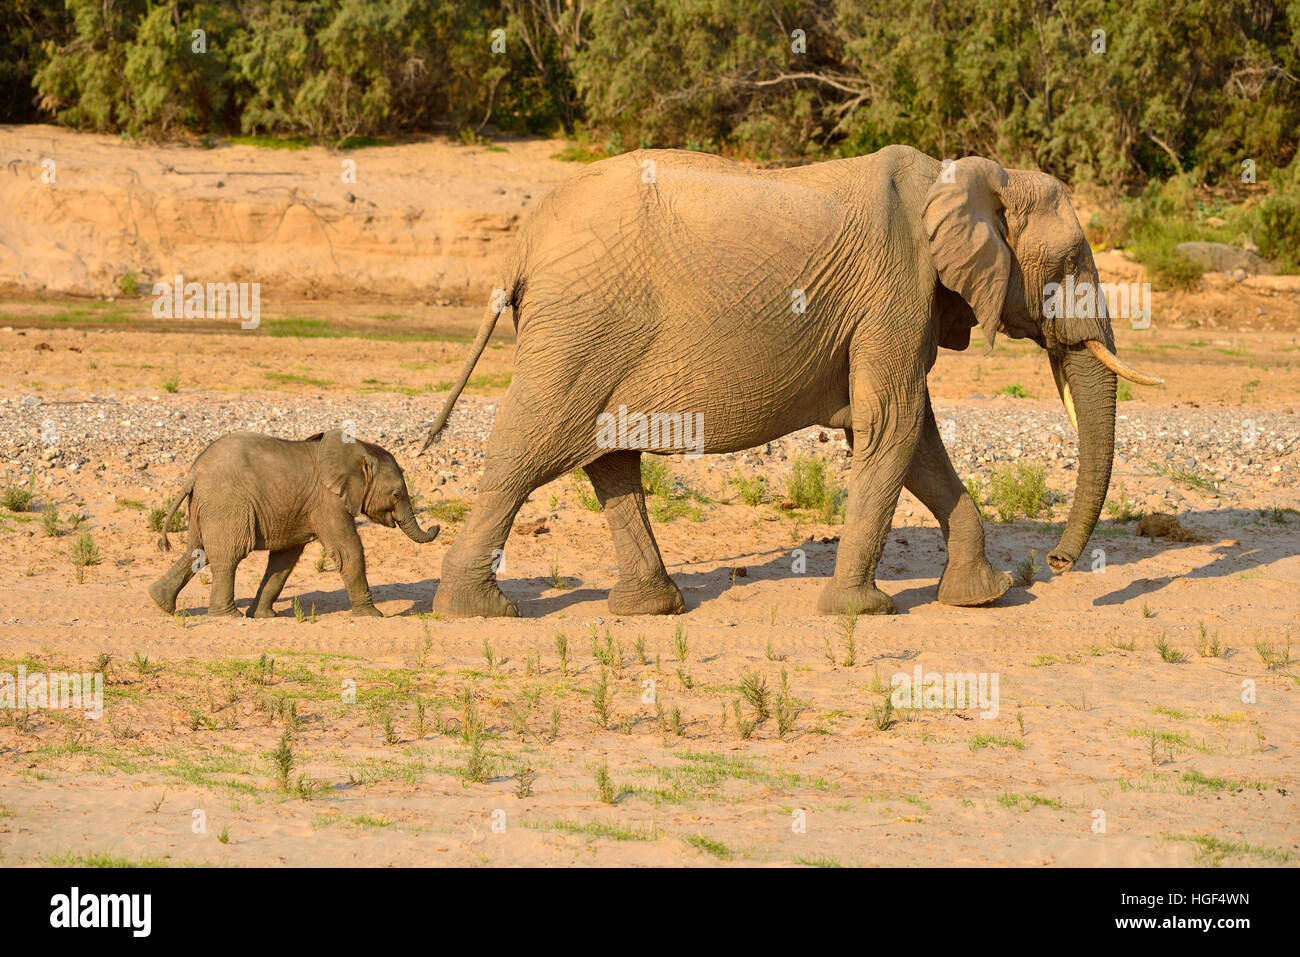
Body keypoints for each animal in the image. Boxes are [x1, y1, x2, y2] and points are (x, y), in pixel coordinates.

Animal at [148, 429, 438, 618]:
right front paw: (373, 615)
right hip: (227, 502)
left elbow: (284, 560)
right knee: (229, 554)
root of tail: (194, 473)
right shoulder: (328, 500)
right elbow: (348, 551)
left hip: (208, 504)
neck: (359, 450)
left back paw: (160, 603)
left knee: (197, 551)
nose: (436, 527)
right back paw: (227, 617)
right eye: (396, 495)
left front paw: (264, 617)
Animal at [421, 145, 1162, 619]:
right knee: (526, 452)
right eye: (1068, 263)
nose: (1059, 565)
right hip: (582, 327)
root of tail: (520, 244)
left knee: (609, 457)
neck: (969, 174)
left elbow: (916, 439)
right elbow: (890, 430)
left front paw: (986, 595)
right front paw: (860, 611)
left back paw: (649, 608)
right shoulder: (896, 292)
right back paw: (477, 611)